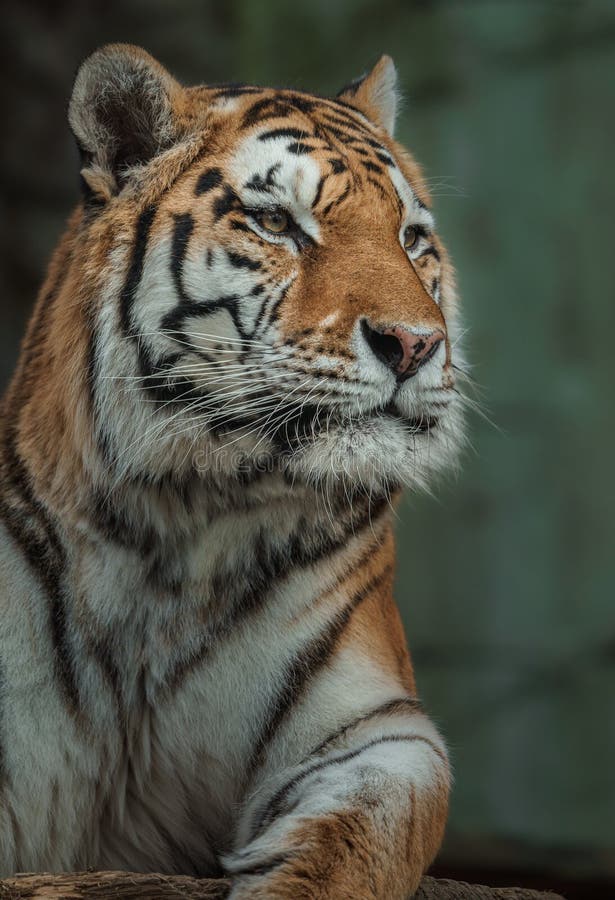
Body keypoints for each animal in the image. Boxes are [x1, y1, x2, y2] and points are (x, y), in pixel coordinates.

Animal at [0, 44, 465, 898]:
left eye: (411, 236)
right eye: (276, 222)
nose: (416, 343)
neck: (175, 528)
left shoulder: (375, 733)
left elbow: (355, 843)